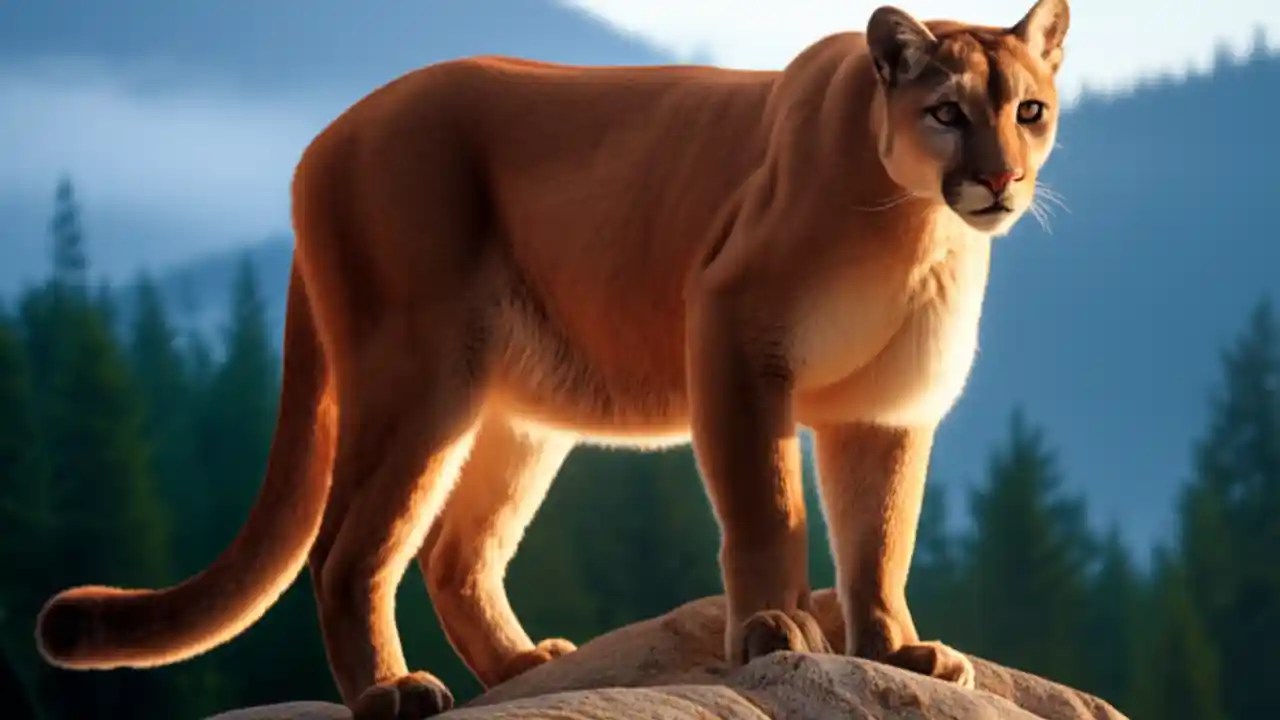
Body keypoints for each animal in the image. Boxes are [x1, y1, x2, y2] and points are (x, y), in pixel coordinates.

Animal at [35, 1, 1071, 718]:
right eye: (946, 112)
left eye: (1030, 109)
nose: (999, 178)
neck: (913, 225)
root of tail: (322, 140)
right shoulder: (735, 337)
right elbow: (766, 507)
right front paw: (773, 631)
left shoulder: (885, 407)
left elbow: (883, 538)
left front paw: (895, 653)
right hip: (418, 375)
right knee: (345, 550)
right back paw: (389, 693)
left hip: (515, 414)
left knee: (456, 553)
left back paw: (522, 665)